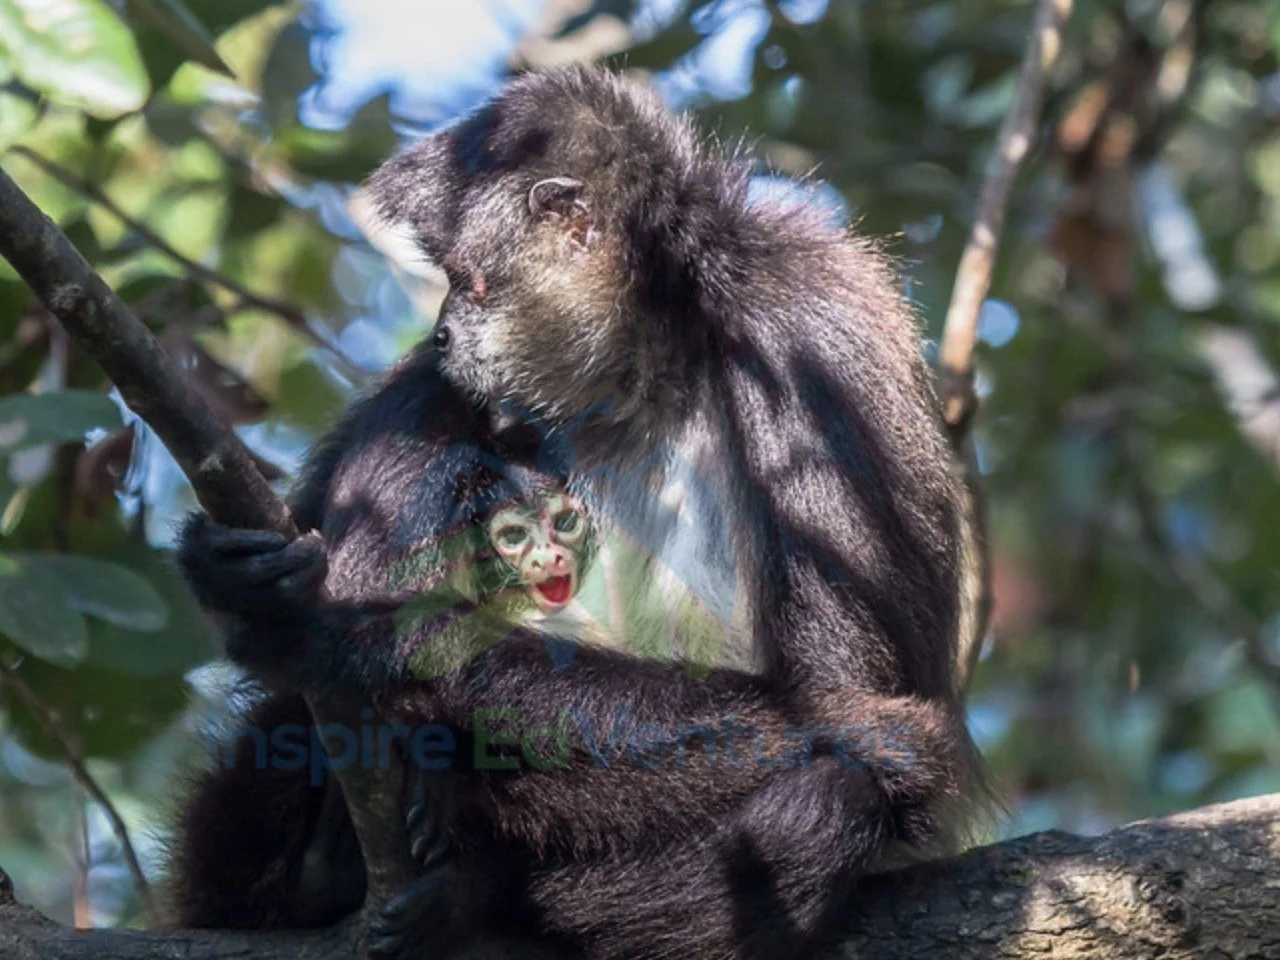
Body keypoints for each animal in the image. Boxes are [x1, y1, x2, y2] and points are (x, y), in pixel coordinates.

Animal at [171, 66, 988, 960]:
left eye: (469, 279)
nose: (442, 330)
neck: (650, 367)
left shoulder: (809, 338)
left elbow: (853, 701)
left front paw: (357, 633)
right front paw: (227, 572)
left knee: (826, 808)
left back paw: (474, 882)